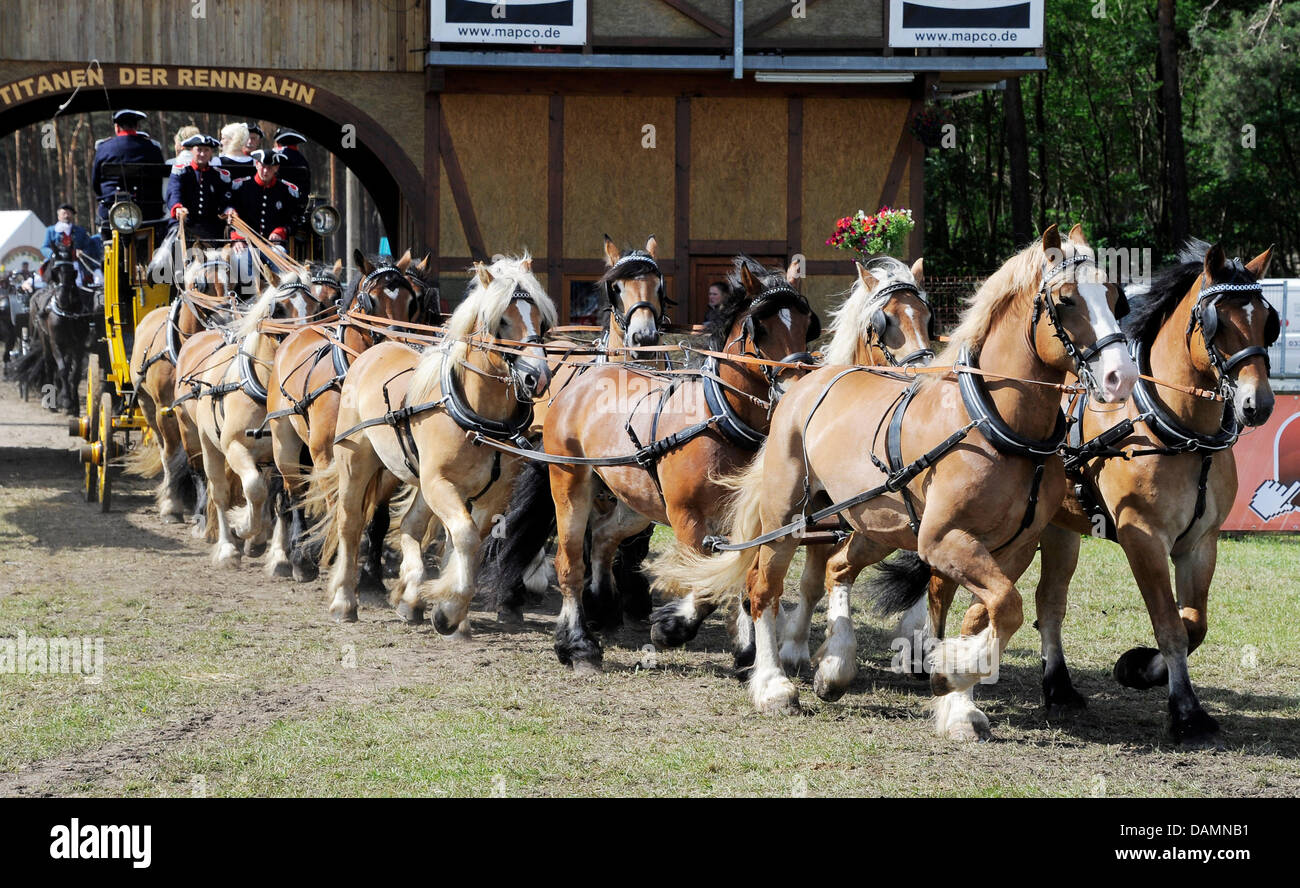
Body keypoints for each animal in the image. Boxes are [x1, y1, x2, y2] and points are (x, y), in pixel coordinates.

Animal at [266, 250, 431, 583]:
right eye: (371, 301)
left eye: (413, 301)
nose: (397, 346)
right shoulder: (328, 456)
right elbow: (339, 511)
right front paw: (337, 563)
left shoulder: (389, 461)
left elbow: (379, 517)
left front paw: (372, 573)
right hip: (285, 442)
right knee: (295, 494)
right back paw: (298, 558)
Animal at [304, 254, 555, 630]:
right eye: (502, 320)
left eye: (541, 319)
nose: (536, 376)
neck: (479, 414)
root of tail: (373, 352)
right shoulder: (440, 482)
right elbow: (464, 536)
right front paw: (449, 611)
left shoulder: (491, 495)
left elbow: (468, 542)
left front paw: (448, 606)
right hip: (357, 462)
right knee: (350, 522)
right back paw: (345, 601)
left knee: (410, 524)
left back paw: (410, 599)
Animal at [651, 225, 1138, 738]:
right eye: (1066, 300)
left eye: (1114, 297)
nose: (1120, 377)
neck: (994, 421)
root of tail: (802, 381)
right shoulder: (942, 539)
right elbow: (1006, 606)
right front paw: (952, 674)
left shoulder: (1014, 547)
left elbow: (984, 612)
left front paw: (957, 698)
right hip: (788, 515)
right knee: (763, 586)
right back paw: (771, 685)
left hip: (877, 525)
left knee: (837, 568)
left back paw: (835, 667)